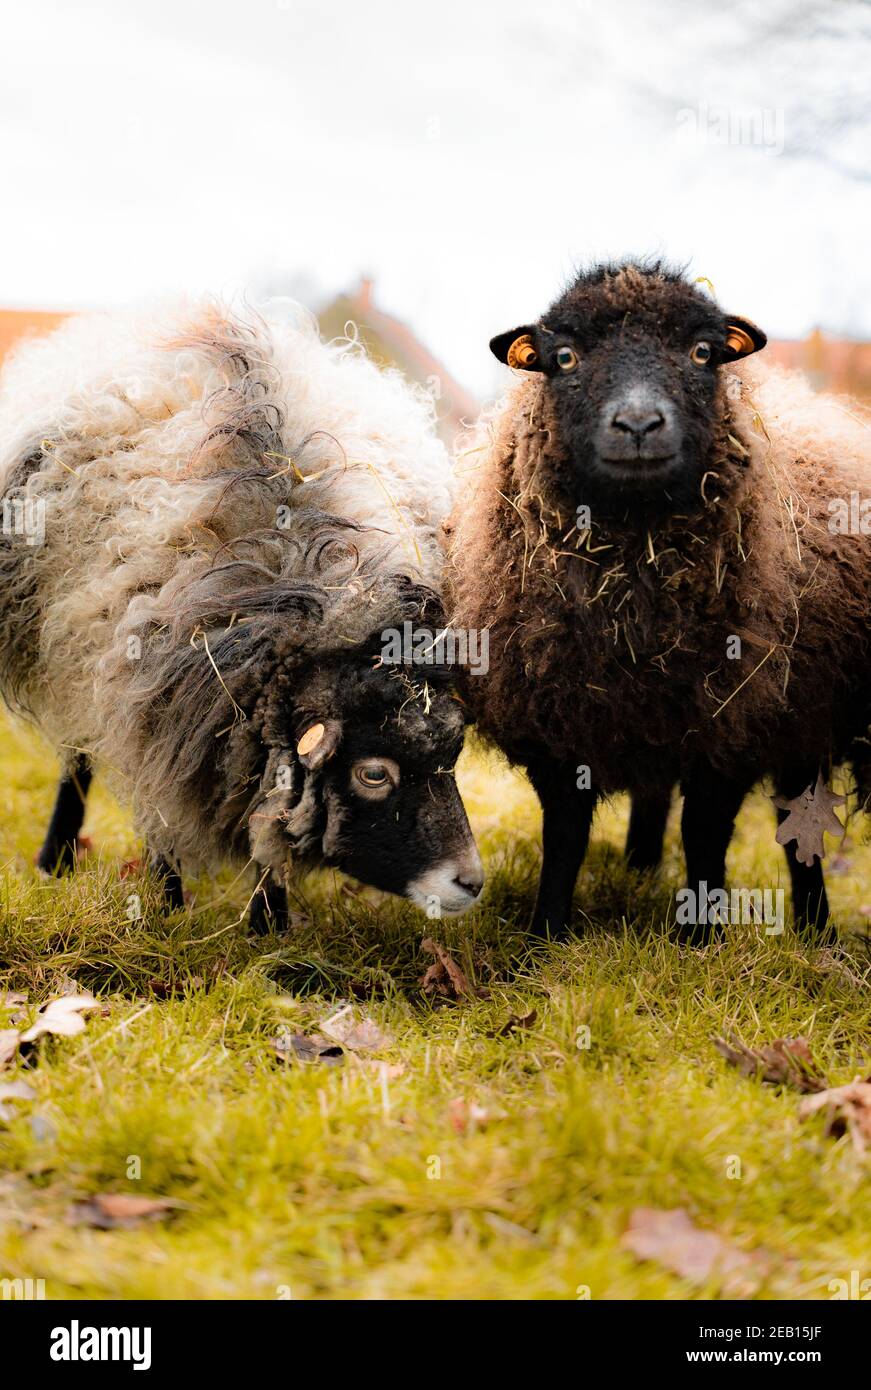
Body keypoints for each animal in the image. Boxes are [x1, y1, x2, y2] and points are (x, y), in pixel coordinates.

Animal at [0, 301, 484, 930]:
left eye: (453, 758)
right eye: (374, 773)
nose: (471, 883)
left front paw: (269, 925)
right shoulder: (151, 697)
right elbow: (165, 806)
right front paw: (168, 908)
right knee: (76, 756)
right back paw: (55, 859)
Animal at [447, 260, 871, 942]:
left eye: (702, 352)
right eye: (563, 357)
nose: (640, 426)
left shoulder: (730, 723)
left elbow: (704, 835)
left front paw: (702, 936)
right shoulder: (559, 724)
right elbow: (564, 836)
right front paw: (545, 935)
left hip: (801, 714)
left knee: (799, 826)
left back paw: (815, 927)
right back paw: (641, 867)